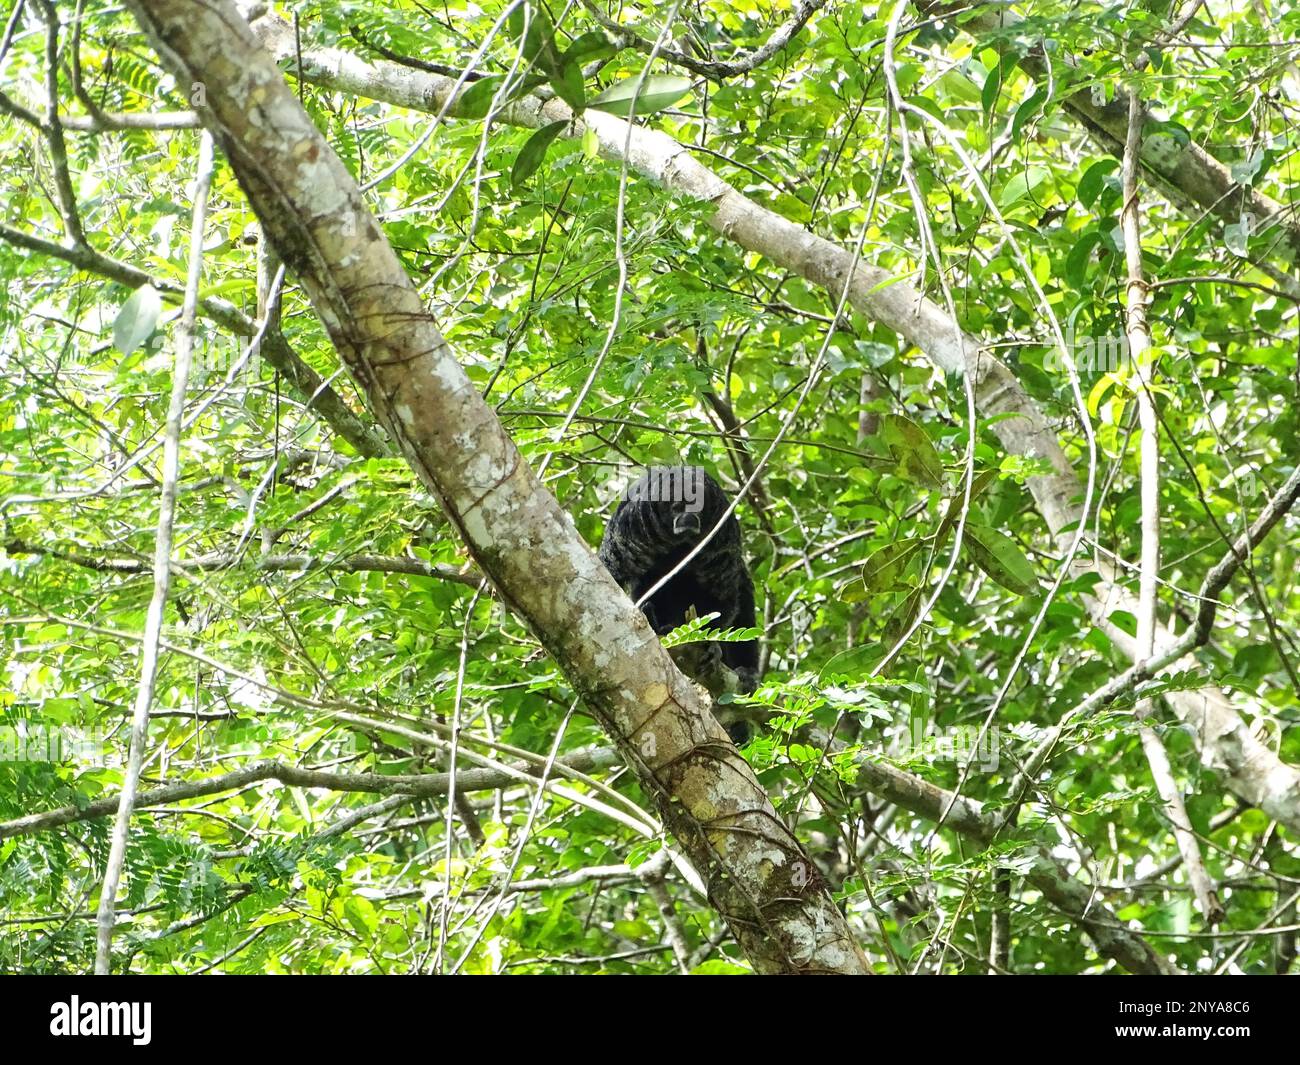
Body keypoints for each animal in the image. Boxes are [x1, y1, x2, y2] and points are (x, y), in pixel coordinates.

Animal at [598, 466, 761, 739]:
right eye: (677, 506)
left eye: (698, 508)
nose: (688, 519)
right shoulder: (630, 523)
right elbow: (612, 571)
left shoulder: (722, 533)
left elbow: (724, 593)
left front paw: (710, 643)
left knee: (743, 591)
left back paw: (746, 672)